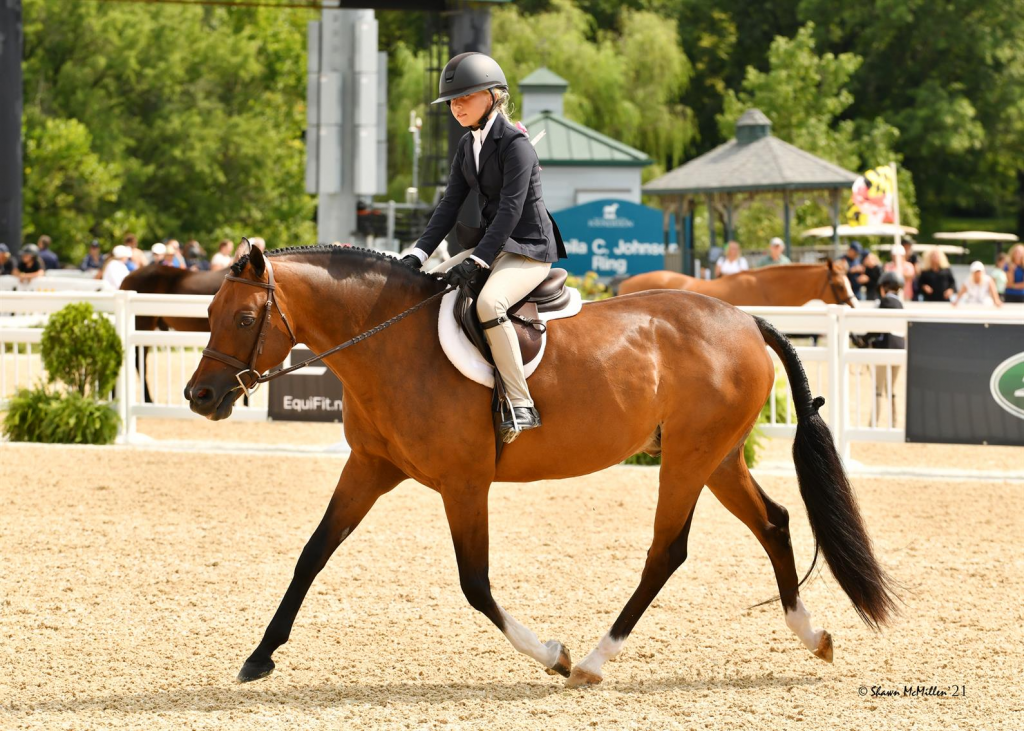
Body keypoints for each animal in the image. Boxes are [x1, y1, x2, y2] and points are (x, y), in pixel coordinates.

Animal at [184, 244, 897, 688]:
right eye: (210, 313)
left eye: (244, 317)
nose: (201, 397)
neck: (390, 342)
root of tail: (746, 320)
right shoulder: (370, 468)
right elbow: (313, 553)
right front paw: (259, 656)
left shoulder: (464, 484)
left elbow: (475, 584)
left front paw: (551, 654)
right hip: (716, 457)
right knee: (773, 523)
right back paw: (811, 634)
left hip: (688, 459)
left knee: (667, 551)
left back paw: (593, 661)